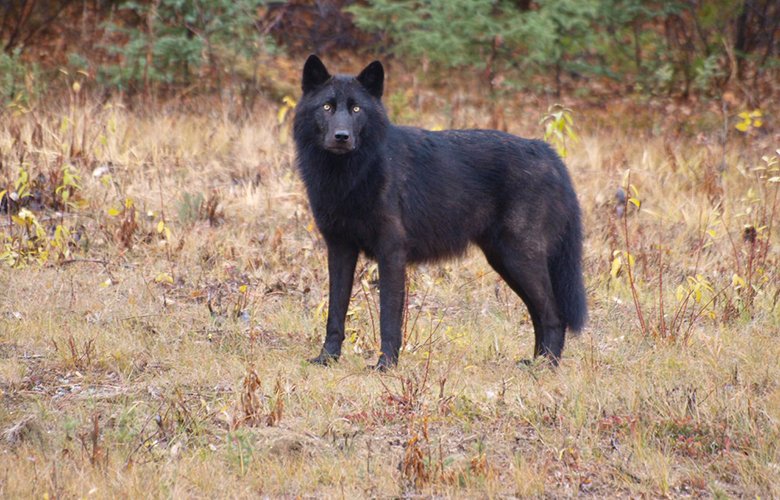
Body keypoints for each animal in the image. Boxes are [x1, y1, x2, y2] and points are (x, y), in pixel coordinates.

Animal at [293, 55, 586, 370]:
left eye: (356, 108)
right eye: (327, 107)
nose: (342, 136)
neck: (352, 176)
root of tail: (549, 153)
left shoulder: (391, 252)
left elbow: (388, 318)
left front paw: (386, 365)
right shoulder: (340, 249)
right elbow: (335, 312)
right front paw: (327, 358)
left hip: (519, 258)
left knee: (553, 314)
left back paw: (546, 367)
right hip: (506, 261)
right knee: (539, 313)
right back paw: (535, 362)